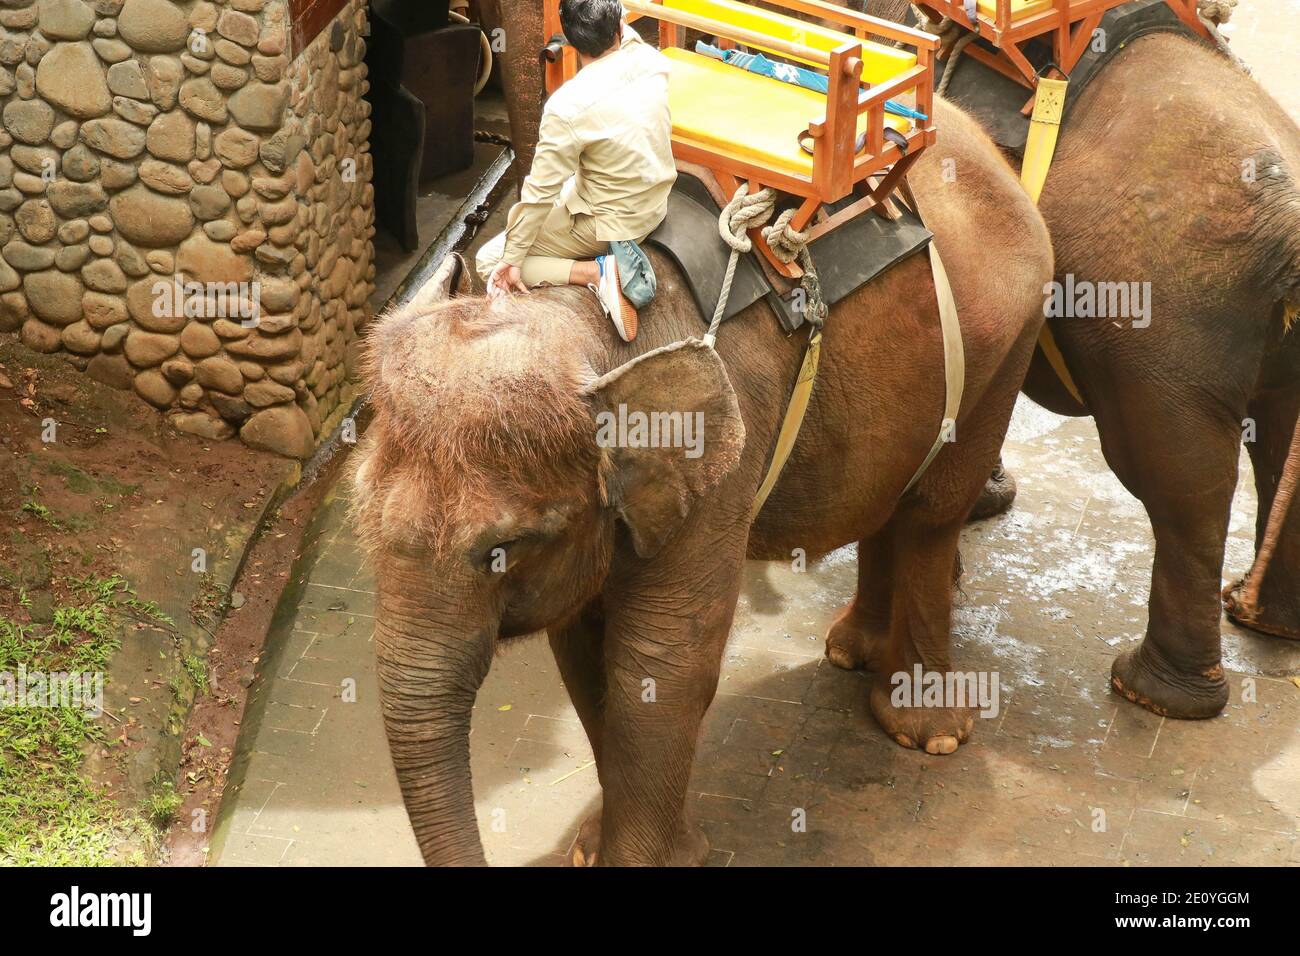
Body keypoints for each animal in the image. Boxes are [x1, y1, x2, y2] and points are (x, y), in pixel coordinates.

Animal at [351, 93, 1054, 862]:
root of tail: (988, 150)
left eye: (500, 551)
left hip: (1008, 344)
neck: (592, 333)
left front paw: (642, 857)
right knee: (887, 502)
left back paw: (928, 735)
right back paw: (852, 652)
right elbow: (585, 649)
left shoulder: (719, 465)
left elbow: (664, 664)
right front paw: (603, 847)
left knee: (932, 515)